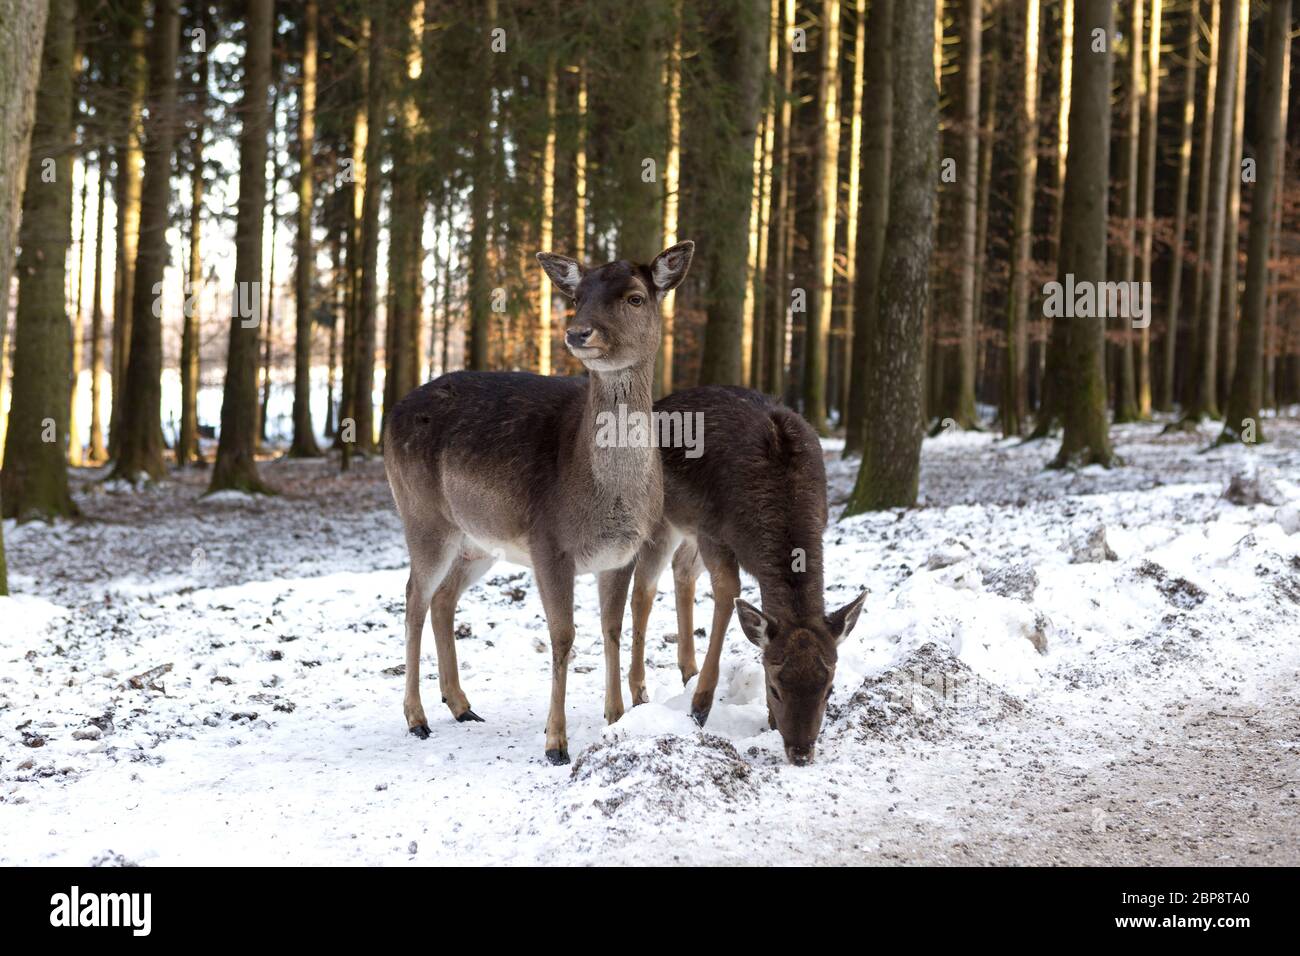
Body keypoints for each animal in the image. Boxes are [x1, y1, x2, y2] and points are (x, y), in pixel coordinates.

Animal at [383, 240, 694, 765]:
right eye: (577, 296)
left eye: (635, 297)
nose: (578, 331)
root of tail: (388, 417)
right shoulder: (548, 543)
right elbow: (563, 635)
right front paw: (556, 743)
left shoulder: (623, 553)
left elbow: (612, 627)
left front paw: (615, 718)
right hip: (422, 516)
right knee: (413, 598)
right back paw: (416, 718)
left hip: (477, 542)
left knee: (444, 599)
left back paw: (461, 705)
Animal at [620, 386, 867, 765]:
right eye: (776, 687)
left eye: (829, 689)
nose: (801, 752)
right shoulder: (714, 532)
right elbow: (728, 594)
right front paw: (700, 705)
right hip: (660, 517)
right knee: (643, 589)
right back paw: (639, 691)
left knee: (682, 569)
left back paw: (688, 670)